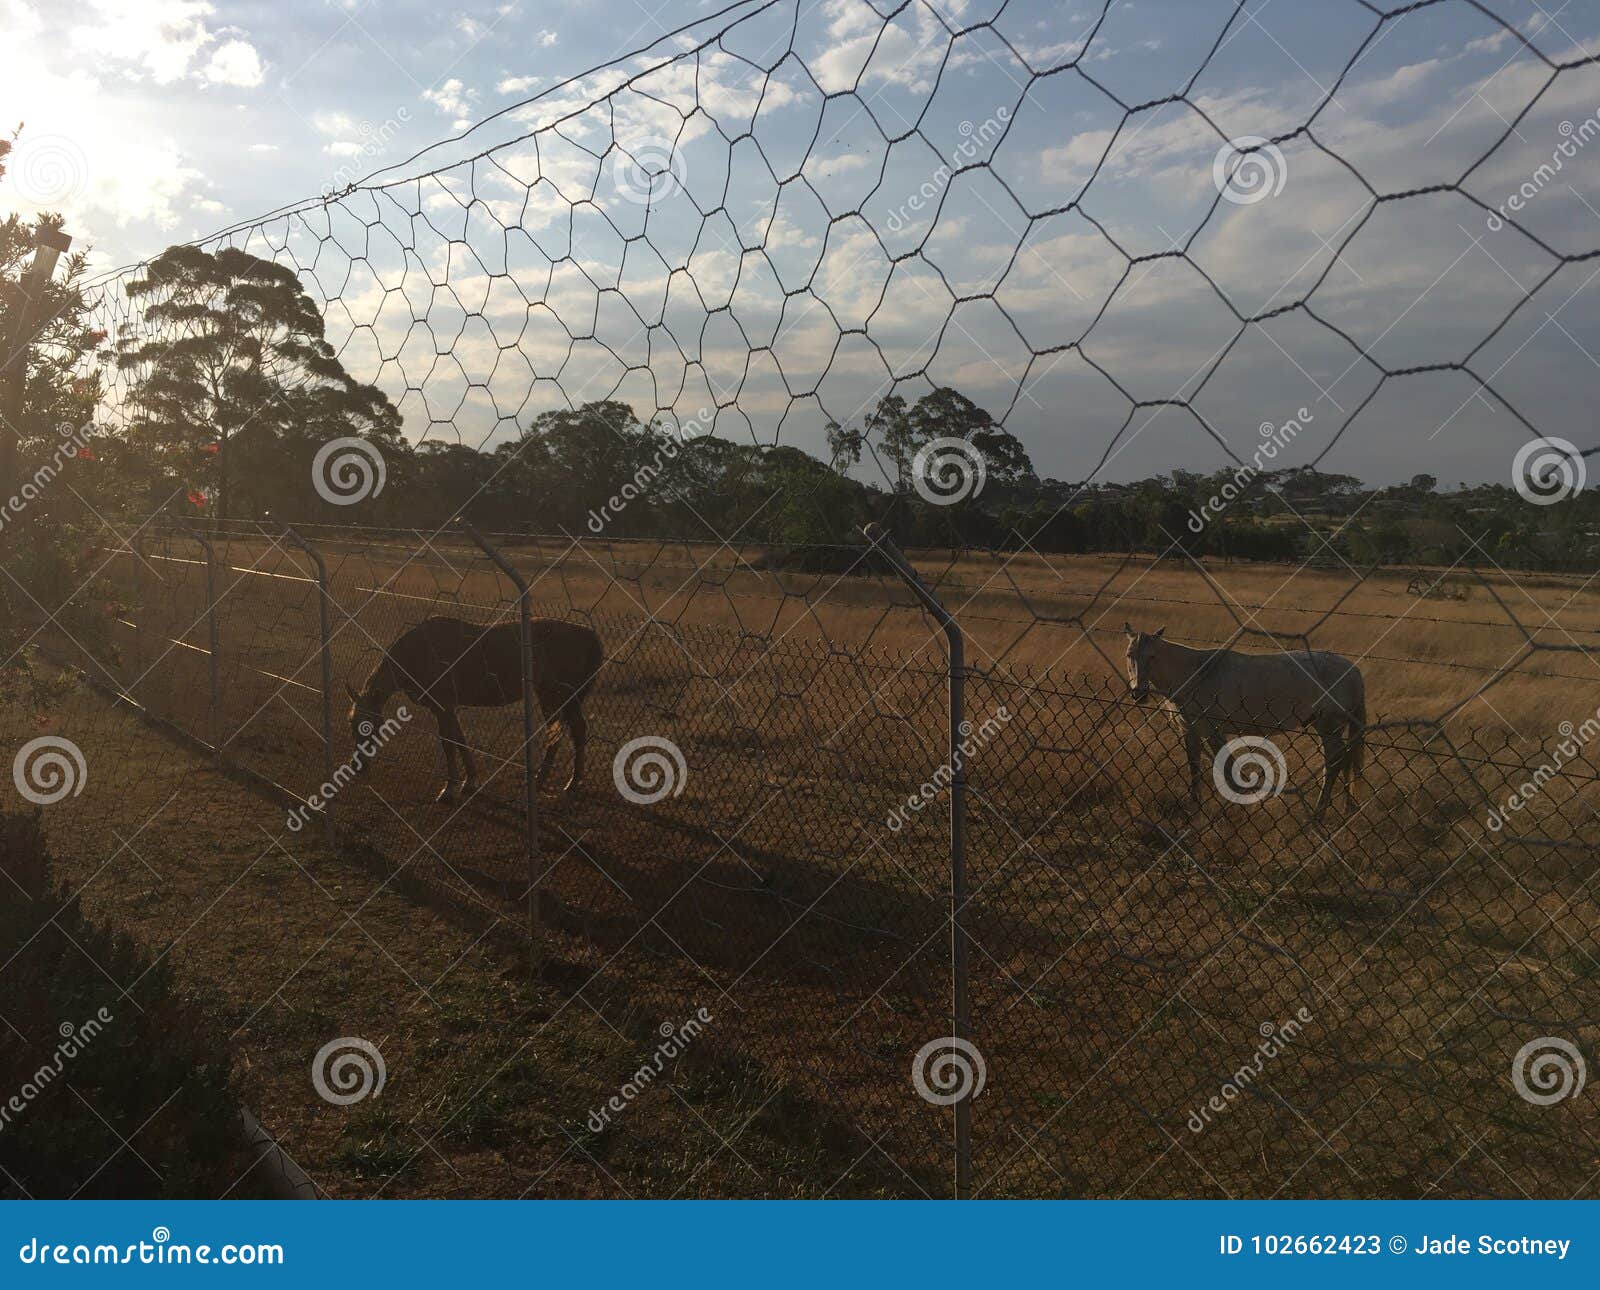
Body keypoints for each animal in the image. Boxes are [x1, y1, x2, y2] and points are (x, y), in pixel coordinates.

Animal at [346, 615, 604, 804]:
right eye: (352, 723)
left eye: (370, 725)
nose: (358, 765)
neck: (419, 652)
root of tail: (587, 633)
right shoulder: (448, 709)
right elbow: (460, 740)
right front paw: (469, 782)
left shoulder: (443, 707)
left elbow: (449, 743)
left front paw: (449, 789)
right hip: (551, 695)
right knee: (560, 732)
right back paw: (548, 780)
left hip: (561, 694)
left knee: (575, 730)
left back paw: (568, 783)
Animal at [1122, 624, 1366, 819]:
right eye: (1129, 655)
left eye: (1152, 656)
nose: (1138, 694)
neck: (1195, 673)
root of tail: (1353, 670)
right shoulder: (1190, 730)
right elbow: (1194, 767)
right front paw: (1194, 806)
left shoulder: (1214, 730)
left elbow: (1228, 771)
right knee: (1345, 760)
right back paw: (1346, 808)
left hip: (1329, 727)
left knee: (1334, 762)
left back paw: (1319, 814)